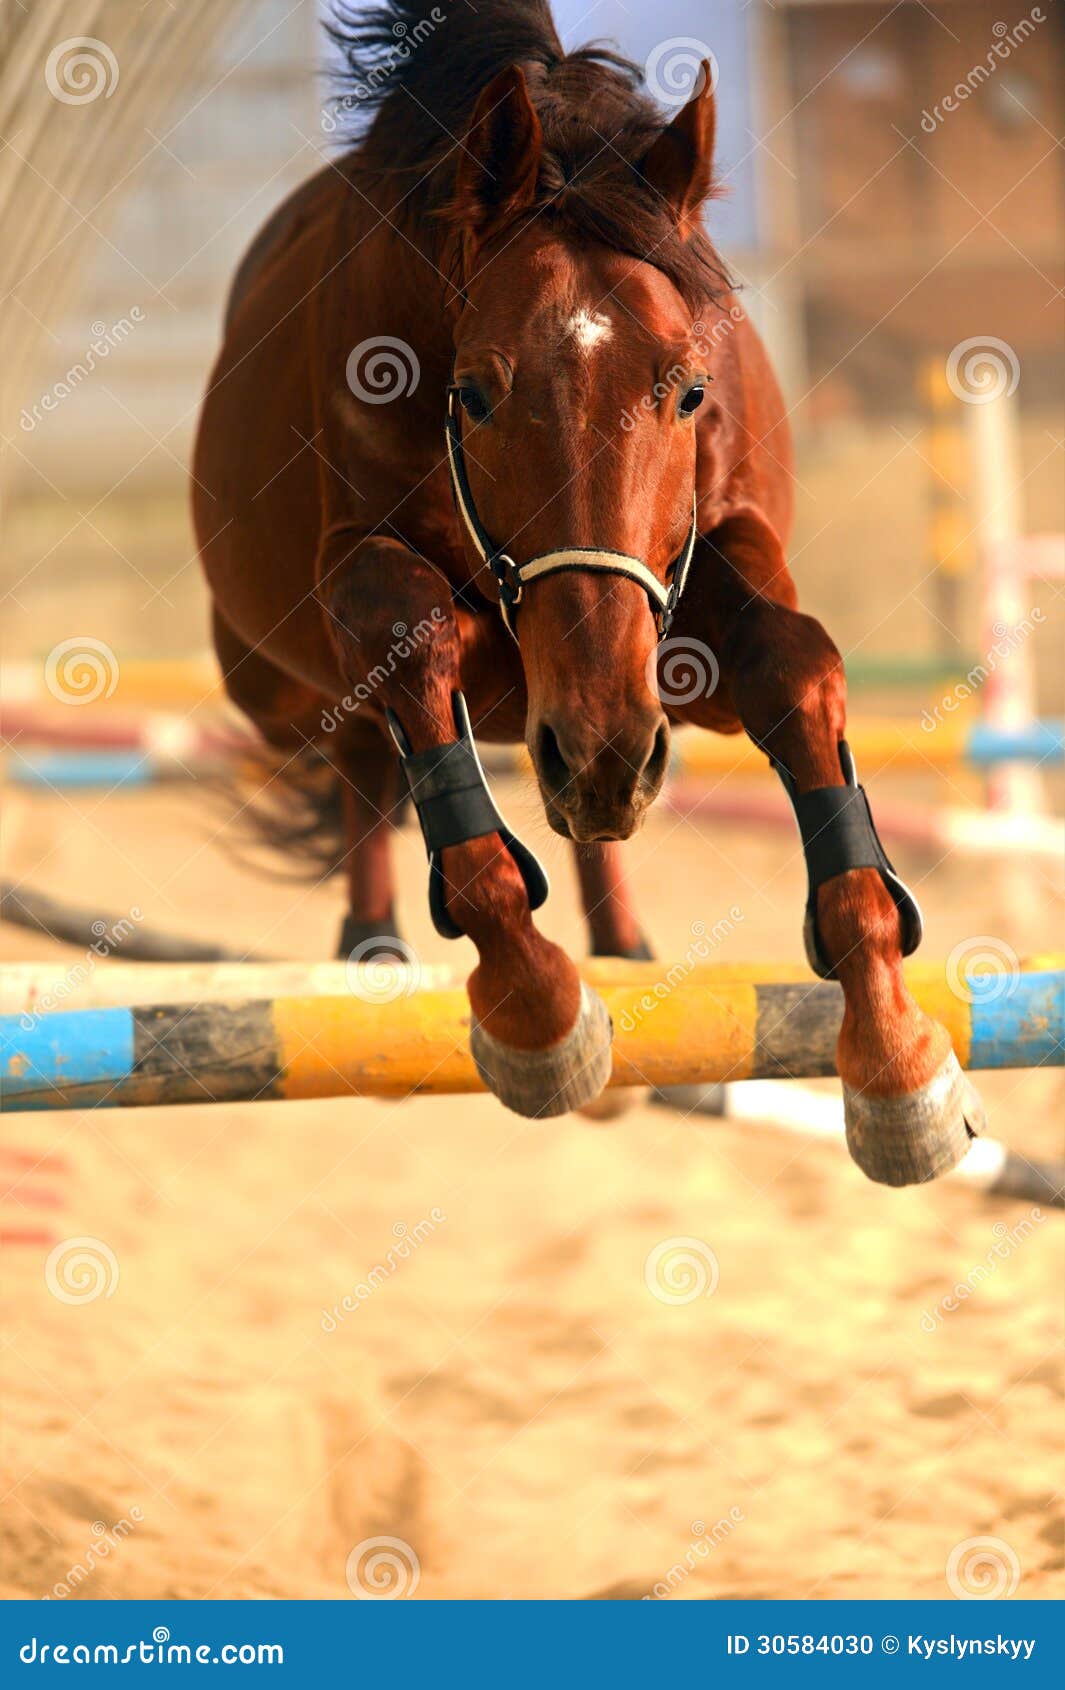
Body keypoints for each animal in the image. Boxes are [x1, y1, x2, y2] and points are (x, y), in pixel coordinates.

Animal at [193, 0, 984, 1183]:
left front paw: (896, 1064)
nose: (612, 747)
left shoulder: (690, 633)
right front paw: (538, 1017)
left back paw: (617, 944)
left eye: (689, 388)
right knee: (364, 753)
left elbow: (796, 673)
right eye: (475, 394)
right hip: (274, 687)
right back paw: (379, 951)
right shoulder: (380, 587)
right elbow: (411, 656)